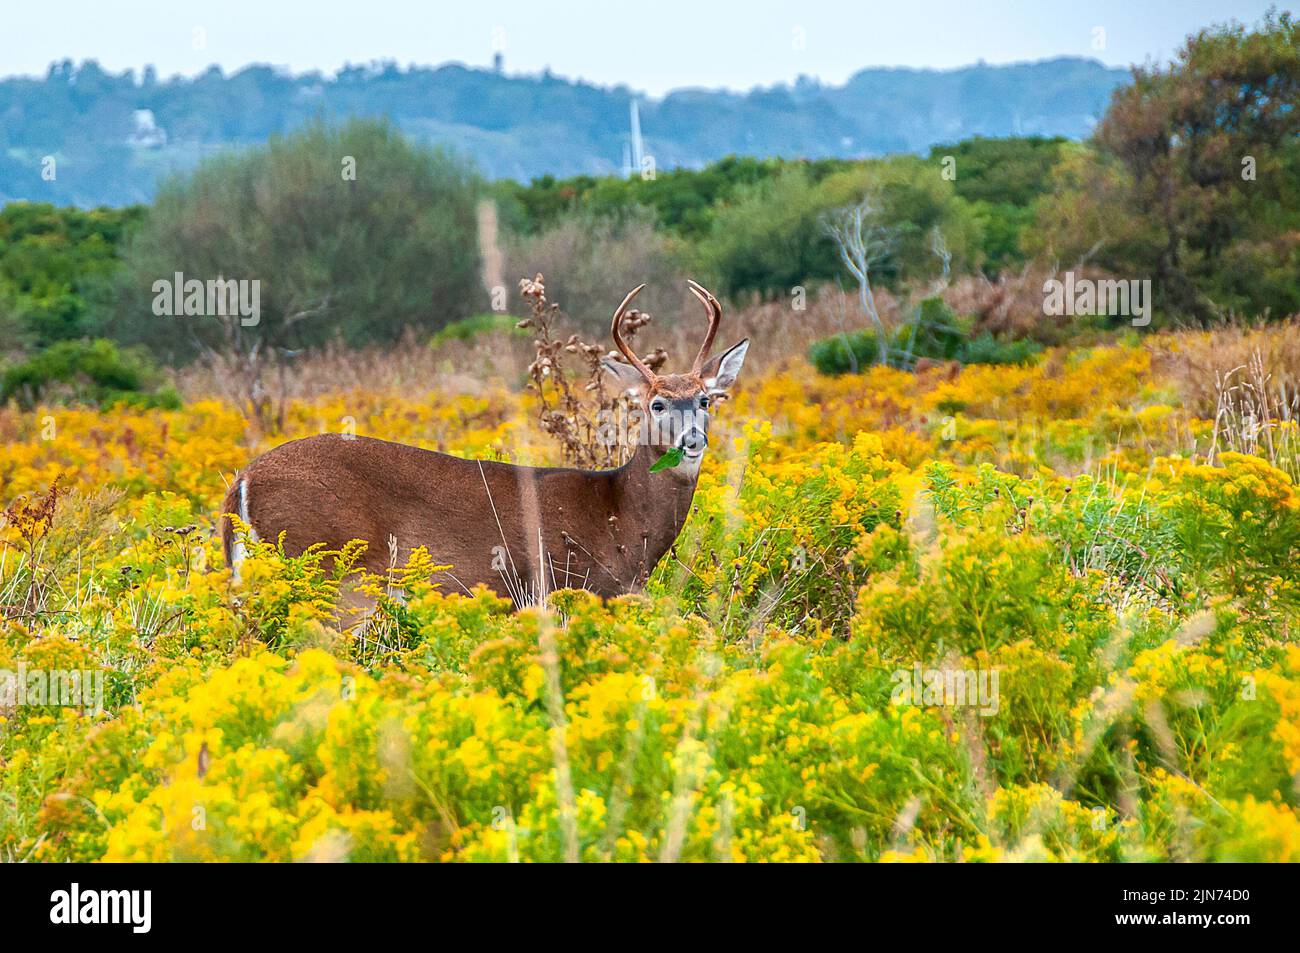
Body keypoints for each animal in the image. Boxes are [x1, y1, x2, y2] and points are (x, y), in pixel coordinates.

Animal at [219, 280, 749, 609]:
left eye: (705, 398)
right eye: (656, 404)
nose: (693, 438)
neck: (618, 514)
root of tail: (242, 481)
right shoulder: (561, 585)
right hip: (329, 567)